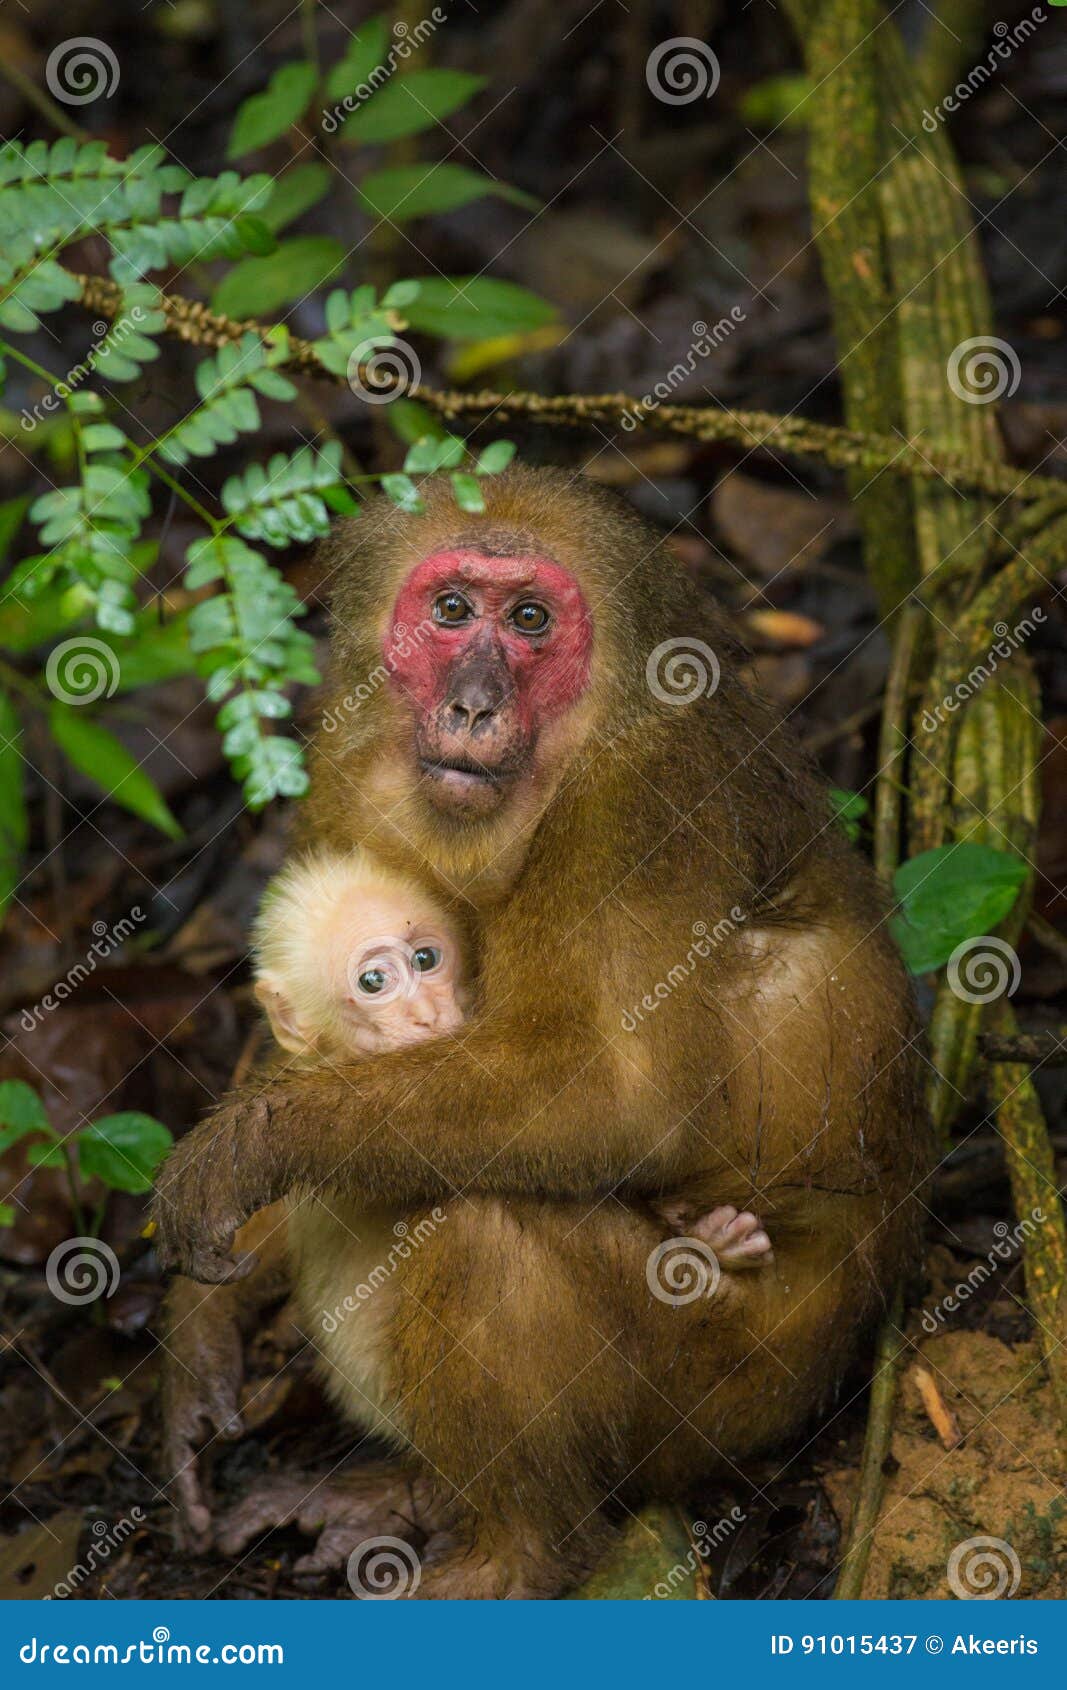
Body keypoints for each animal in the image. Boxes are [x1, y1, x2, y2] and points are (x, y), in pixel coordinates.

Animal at [154, 465, 932, 1598]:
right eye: (450, 610)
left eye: (530, 621)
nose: (472, 704)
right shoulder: (352, 758)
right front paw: (200, 1330)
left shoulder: (640, 800)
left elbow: (627, 1099)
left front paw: (249, 1144)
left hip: (730, 1388)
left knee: (485, 1227)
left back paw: (515, 1556)